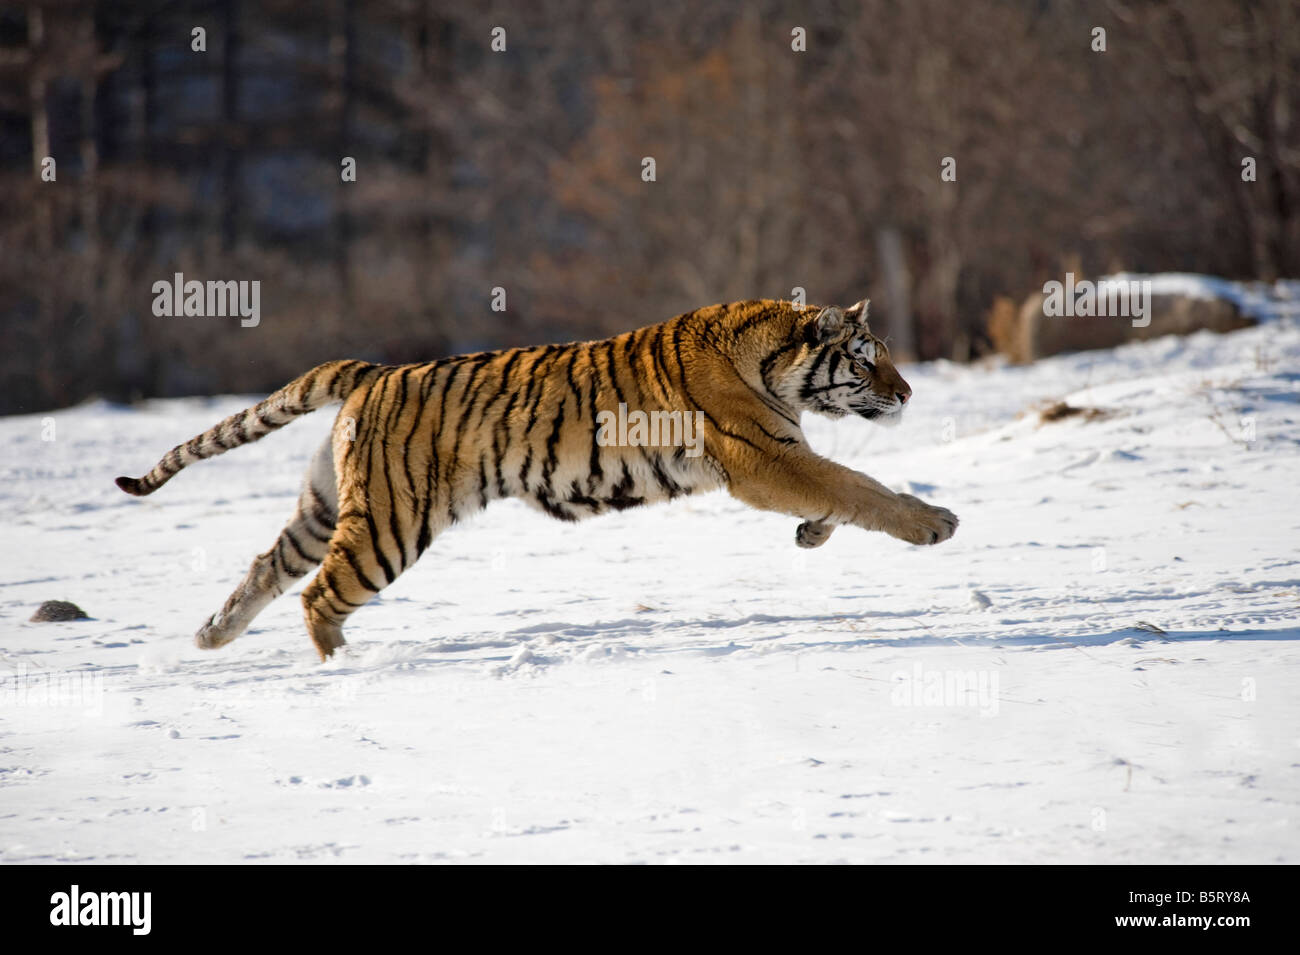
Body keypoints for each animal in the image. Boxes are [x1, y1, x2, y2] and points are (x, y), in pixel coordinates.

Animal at [116, 298, 958, 661]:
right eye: (867, 359)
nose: (911, 392)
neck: (777, 361)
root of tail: (373, 373)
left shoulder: (783, 454)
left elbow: (842, 488)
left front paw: (812, 534)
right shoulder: (764, 458)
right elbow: (856, 483)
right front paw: (935, 523)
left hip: (330, 506)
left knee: (268, 565)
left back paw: (212, 634)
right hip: (390, 524)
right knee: (321, 591)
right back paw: (341, 664)